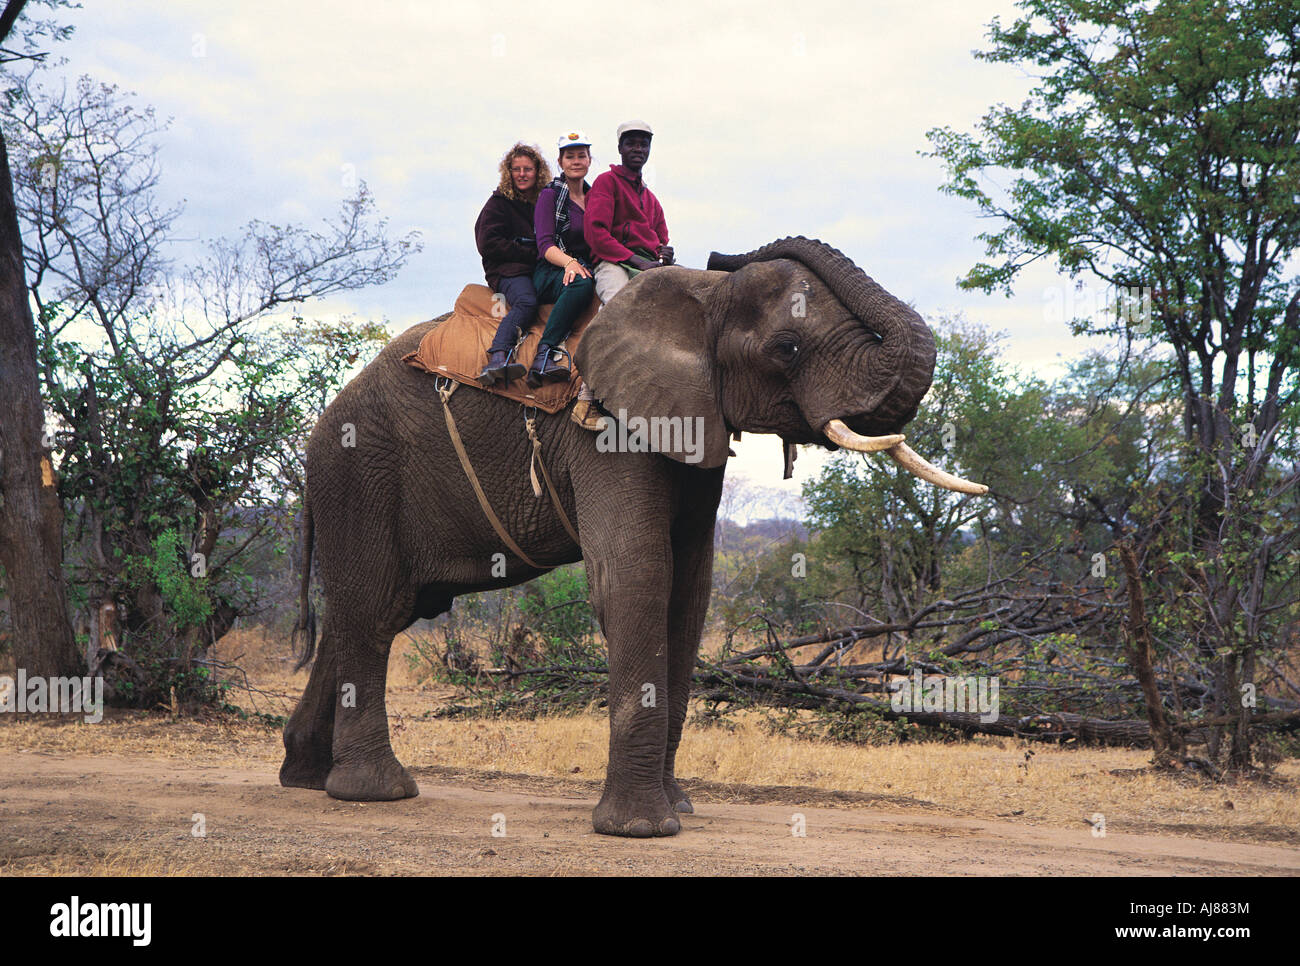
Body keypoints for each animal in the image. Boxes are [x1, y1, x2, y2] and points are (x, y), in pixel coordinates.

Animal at [278, 236, 986, 837]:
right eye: (786, 348)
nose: (725, 251)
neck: (702, 295)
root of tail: (318, 432)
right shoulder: (605, 428)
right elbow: (639, 575)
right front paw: (642, 829)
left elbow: (689, 593)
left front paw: (679, 809)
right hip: (359, 468)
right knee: (374, 610)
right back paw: (376, 792)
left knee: (374, 610)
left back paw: (307, 779)